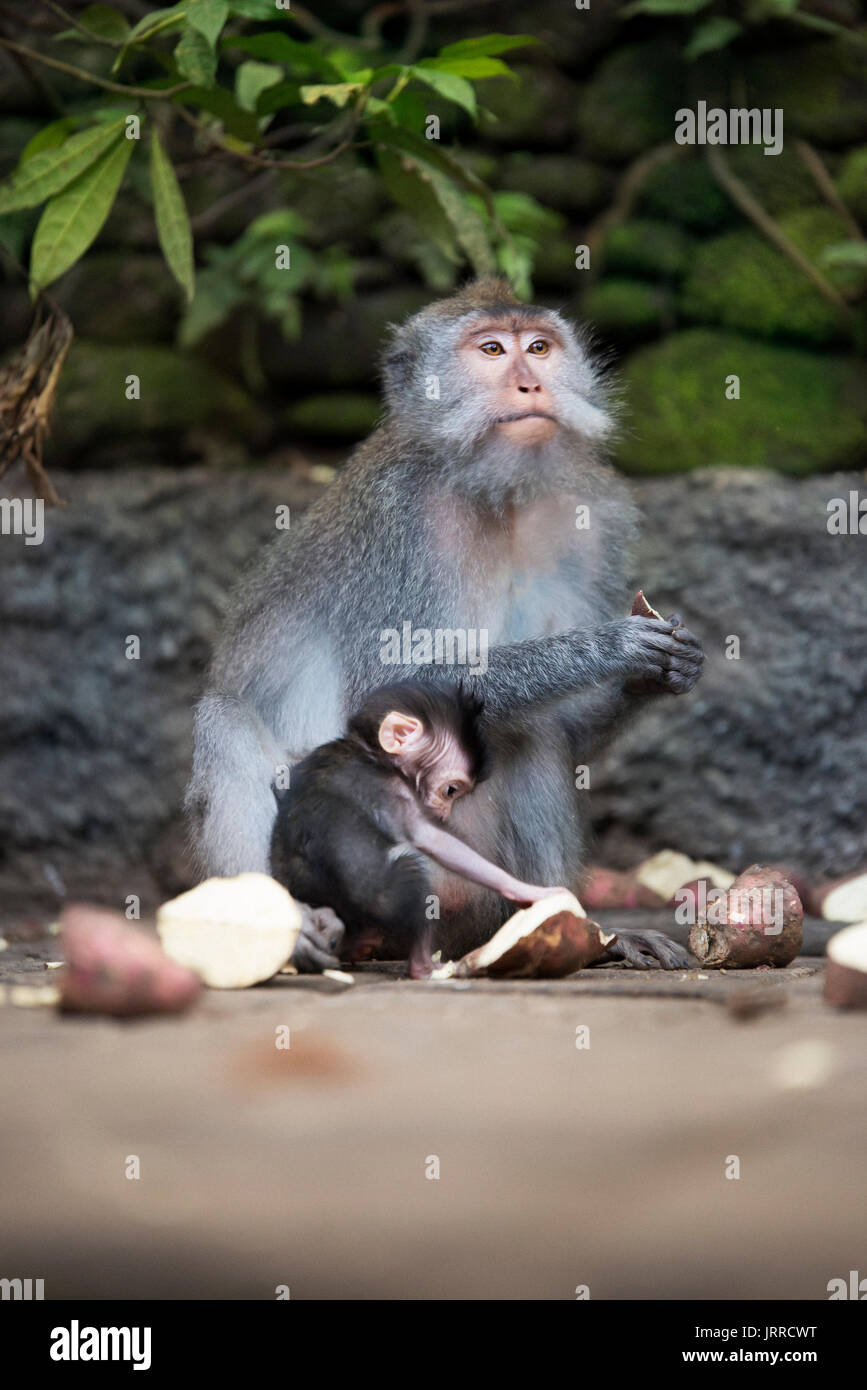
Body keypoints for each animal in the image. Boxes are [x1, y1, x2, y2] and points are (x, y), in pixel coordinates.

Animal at [270, 681, 568, 979]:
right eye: (451, 790)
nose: (444, 812)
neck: (368, 750)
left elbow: (281, 781)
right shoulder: (395, 790)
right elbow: (433, 839)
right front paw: (525, 891)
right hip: (384, 898)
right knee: (412, 874)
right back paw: (421, 966)